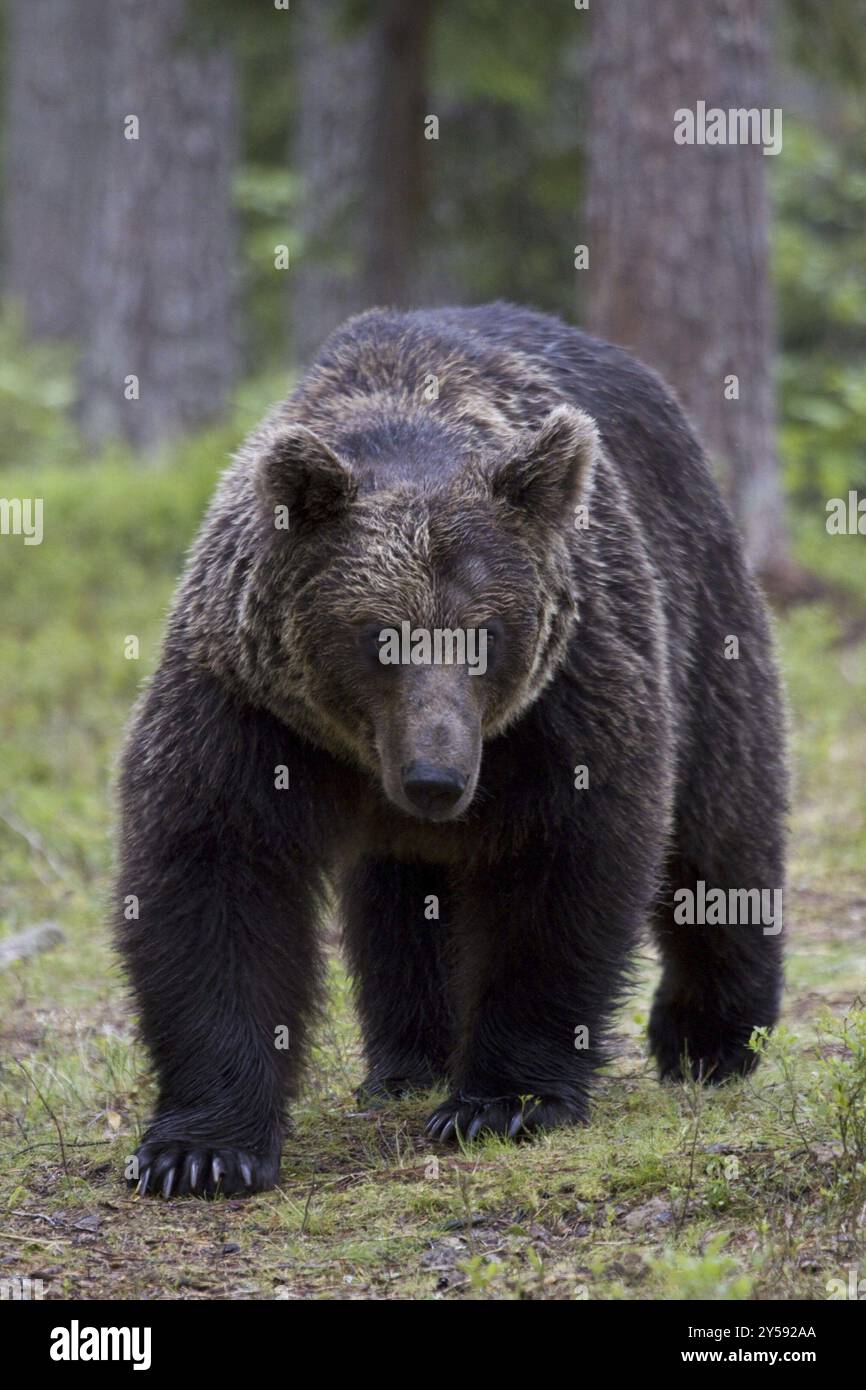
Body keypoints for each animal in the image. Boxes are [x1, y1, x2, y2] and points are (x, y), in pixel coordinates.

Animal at [115, 302, 787, 1198]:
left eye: (484, 635)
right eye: (378, 637)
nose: (437, 778)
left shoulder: (563, 699)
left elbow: (561, 869)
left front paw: (501, 1103)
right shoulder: (248, 705)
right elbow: (216, 875)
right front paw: (200, 1150)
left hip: (701, 607)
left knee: (723, 820)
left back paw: (713, 1036)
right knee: (398, 903)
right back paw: (408, 1060)